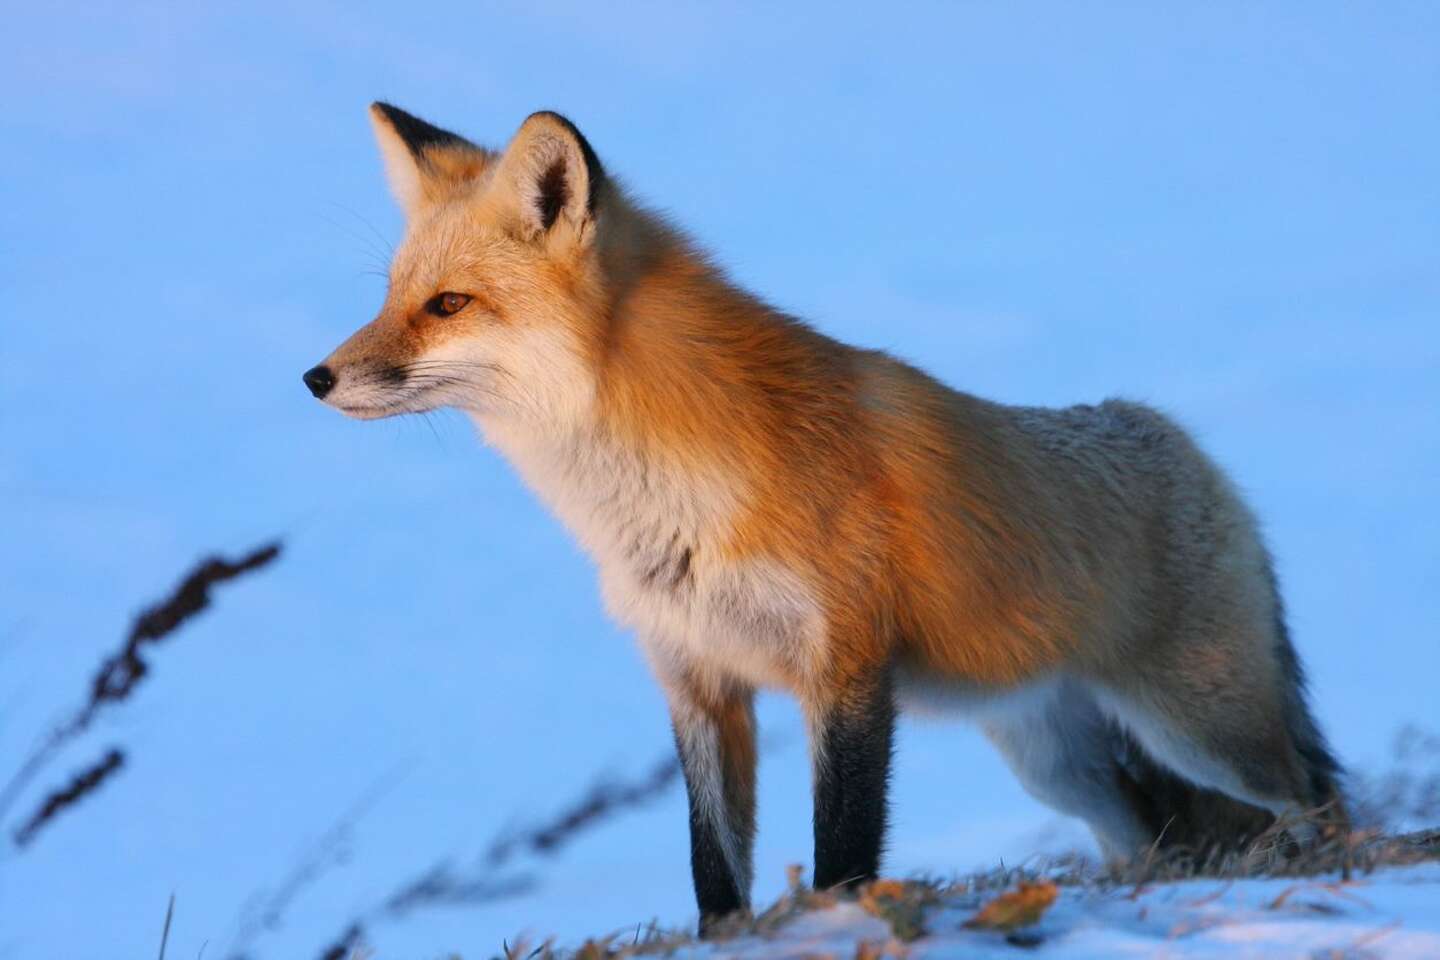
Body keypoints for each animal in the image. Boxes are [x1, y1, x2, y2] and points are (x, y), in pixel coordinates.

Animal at [305, 103, 1346, 932]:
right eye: (391, 295)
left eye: (449, 304)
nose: (315, 378)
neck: (661, 500)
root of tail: (1184, 444)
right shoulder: (696, 678)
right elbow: (712, 866)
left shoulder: (843, 668)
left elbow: (844, 845)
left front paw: (839, 922)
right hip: (1059, 763)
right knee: (1150, 839)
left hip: (1203, 730)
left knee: (1312, 798)